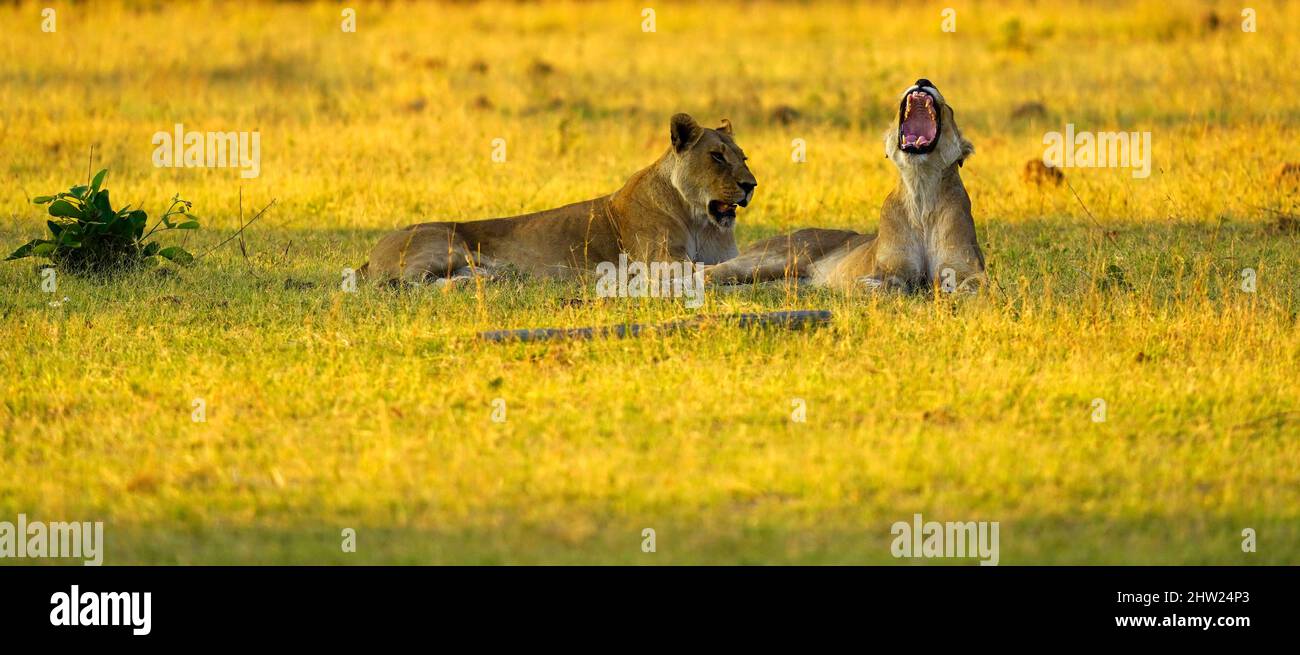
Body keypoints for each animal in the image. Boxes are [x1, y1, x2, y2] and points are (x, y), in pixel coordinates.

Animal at [361, 114, 757, 283]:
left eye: (744, 157)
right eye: (717, 157)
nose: (751, 185)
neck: (699, 220)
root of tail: (371, 253)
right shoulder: (662, 259)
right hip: (444, 245)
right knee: (407, 283)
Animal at [707, 79, 984, 293]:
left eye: (949, 108)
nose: (923, 80)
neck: (921, 188)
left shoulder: (966, 269)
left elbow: (972, 286)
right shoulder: (886, 268)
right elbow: (889, 285)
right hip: (769, 260)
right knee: (708, 272)